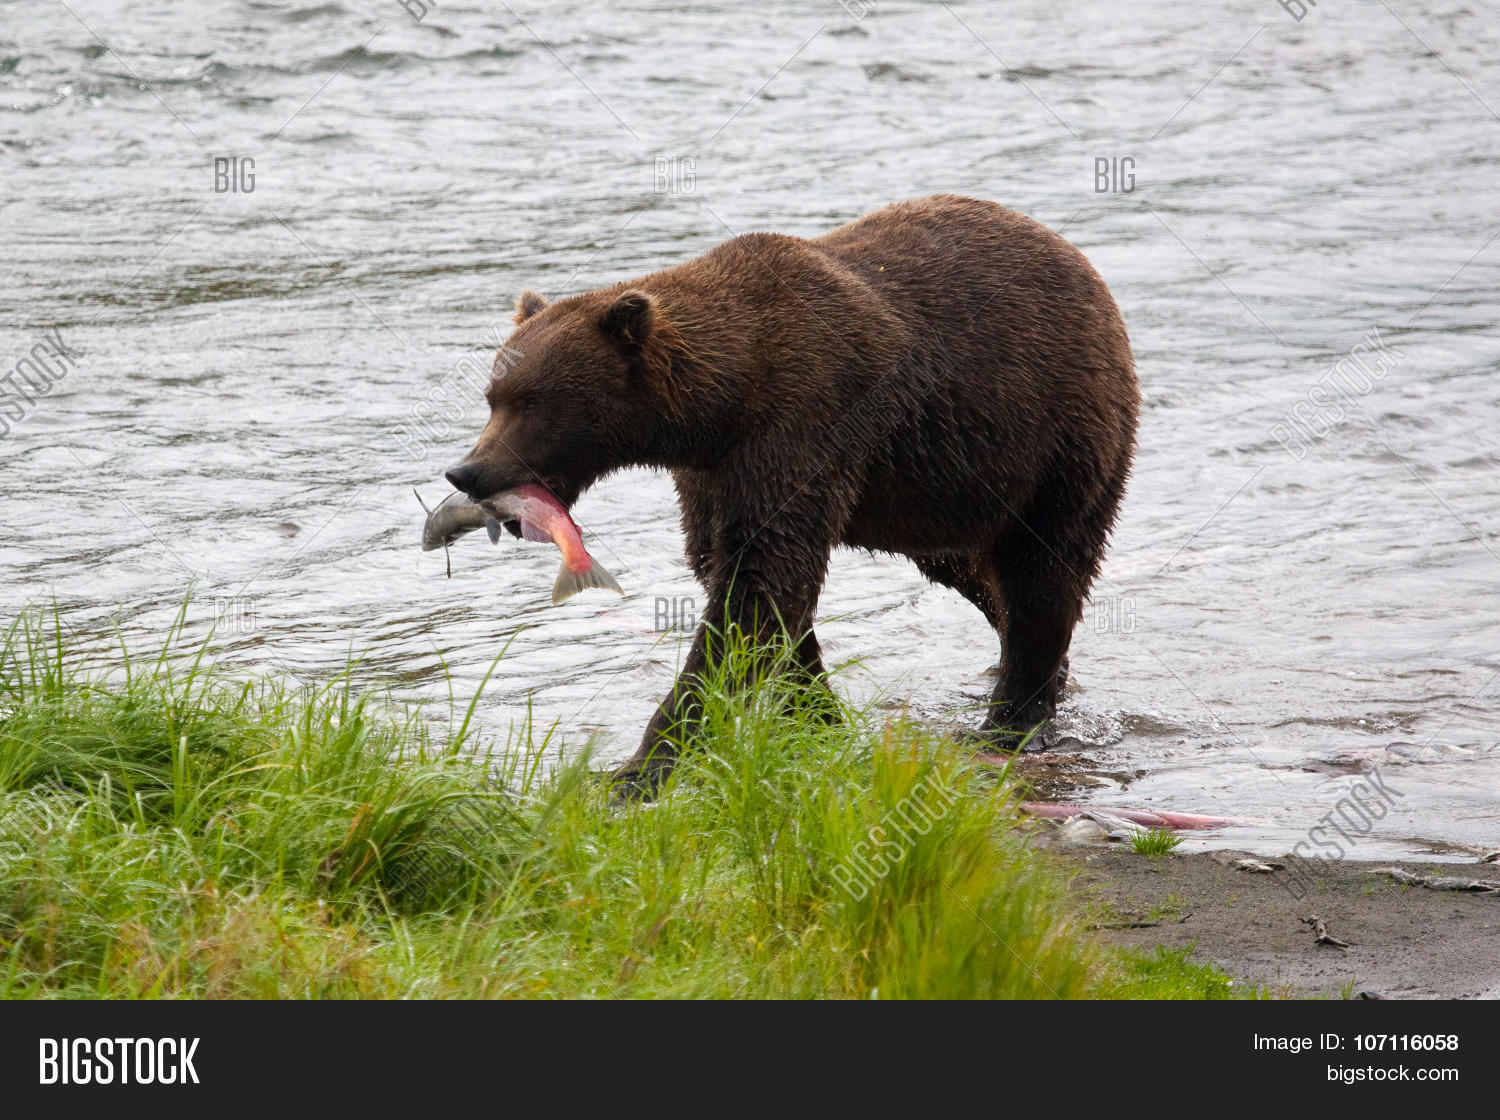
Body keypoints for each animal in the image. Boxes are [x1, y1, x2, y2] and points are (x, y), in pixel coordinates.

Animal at [445, 194, 1139, 790]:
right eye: (493, 396)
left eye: (535, 403)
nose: (467, 471)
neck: (718, 407)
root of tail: (1084, 267)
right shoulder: (714, 476)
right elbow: (746, 580)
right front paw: (817, 713)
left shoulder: (801, 424)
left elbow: (758, 586)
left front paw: (637, 767)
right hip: (946, 490)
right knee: (972, 569)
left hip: (1058, 435)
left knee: (1043, 570)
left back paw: (1013, 719)